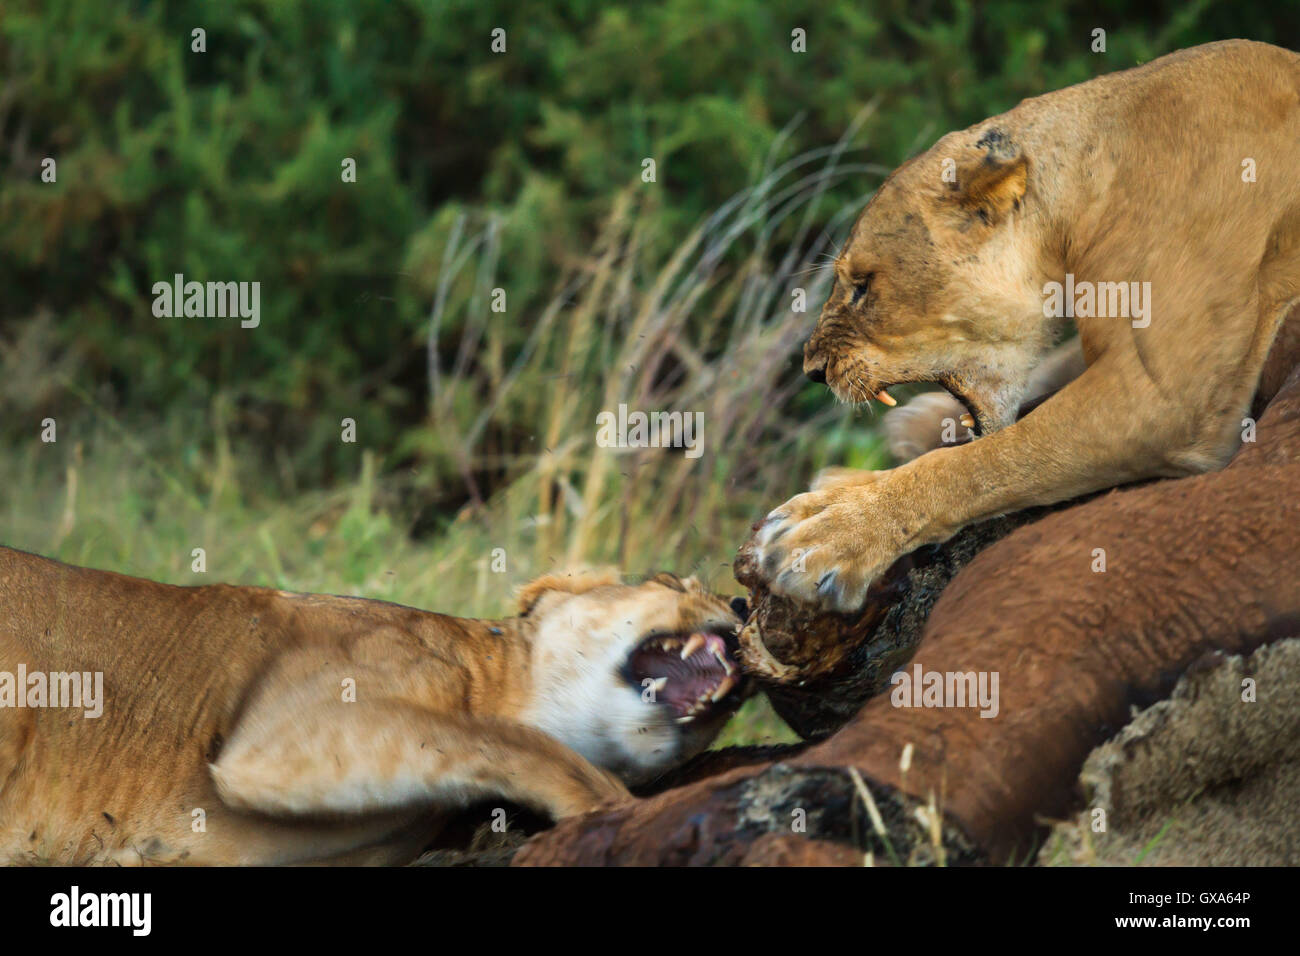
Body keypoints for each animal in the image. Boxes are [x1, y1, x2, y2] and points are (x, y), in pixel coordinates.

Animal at [748, 40, 1300, 612]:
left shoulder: (1169, 396)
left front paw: (830, 533)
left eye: (861, 285)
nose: (812, 369)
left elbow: (986, 460)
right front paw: (841, 486)